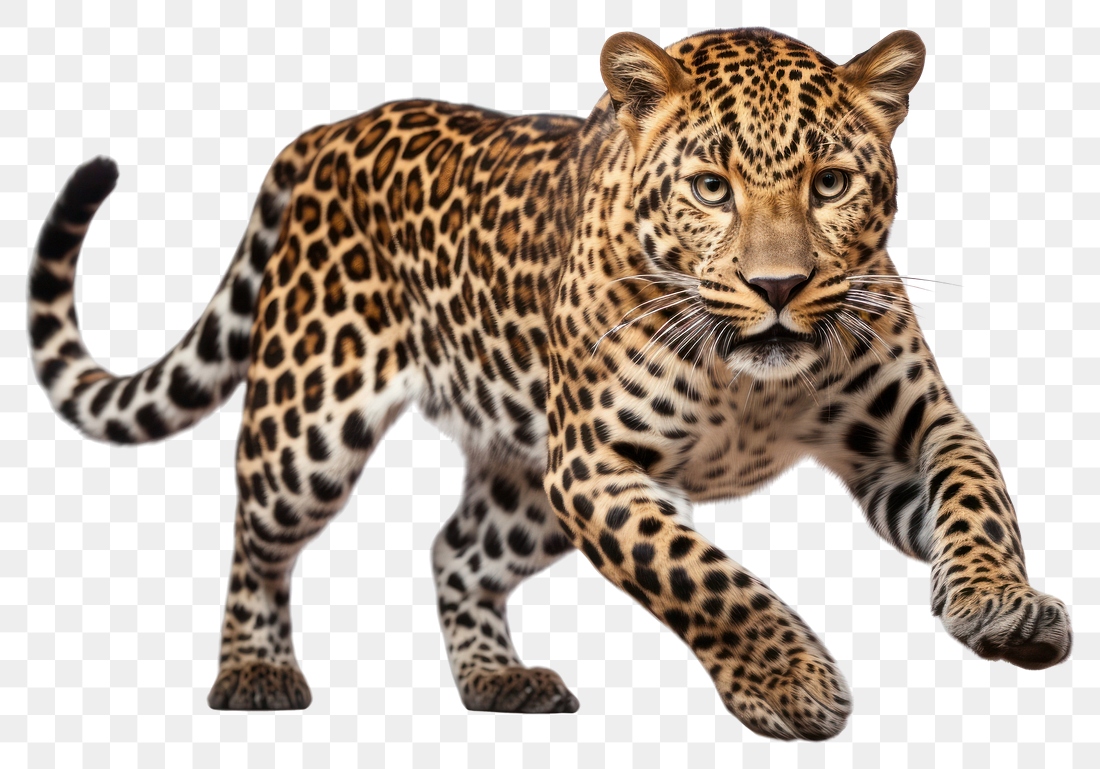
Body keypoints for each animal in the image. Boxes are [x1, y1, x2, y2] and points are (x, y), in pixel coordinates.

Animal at [27, 27, 1072, 740]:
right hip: (310, 425)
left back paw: (499, 680)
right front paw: (790, 683)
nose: (778, 287)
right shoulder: (596, 467)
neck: (752, 381)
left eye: (829, 183)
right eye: (711, 187)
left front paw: (1003, 602)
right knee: (256, 535)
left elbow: (978, 491)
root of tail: (327, 129)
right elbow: (701, 576)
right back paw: (252, 670)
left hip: (523, 482)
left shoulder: (915, 430)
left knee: (455, 550)